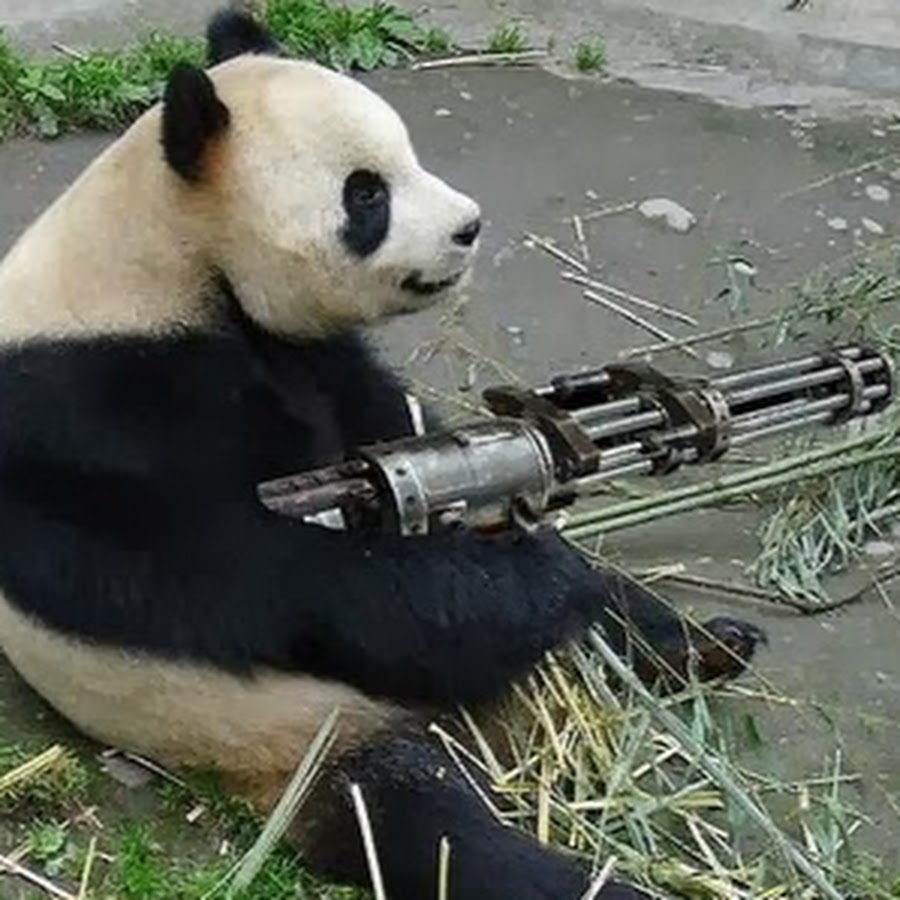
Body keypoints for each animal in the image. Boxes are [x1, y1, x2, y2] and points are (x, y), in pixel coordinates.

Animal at [0, 9, 766, 900]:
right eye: (366, 192)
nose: (469, 226)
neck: (162, 254)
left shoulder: (305, 356)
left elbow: (384, 424)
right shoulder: (93, 406)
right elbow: (244, 573)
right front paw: (519, 580)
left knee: (608, 602)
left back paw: (702, 645)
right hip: (295, 733)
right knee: (428, 829)